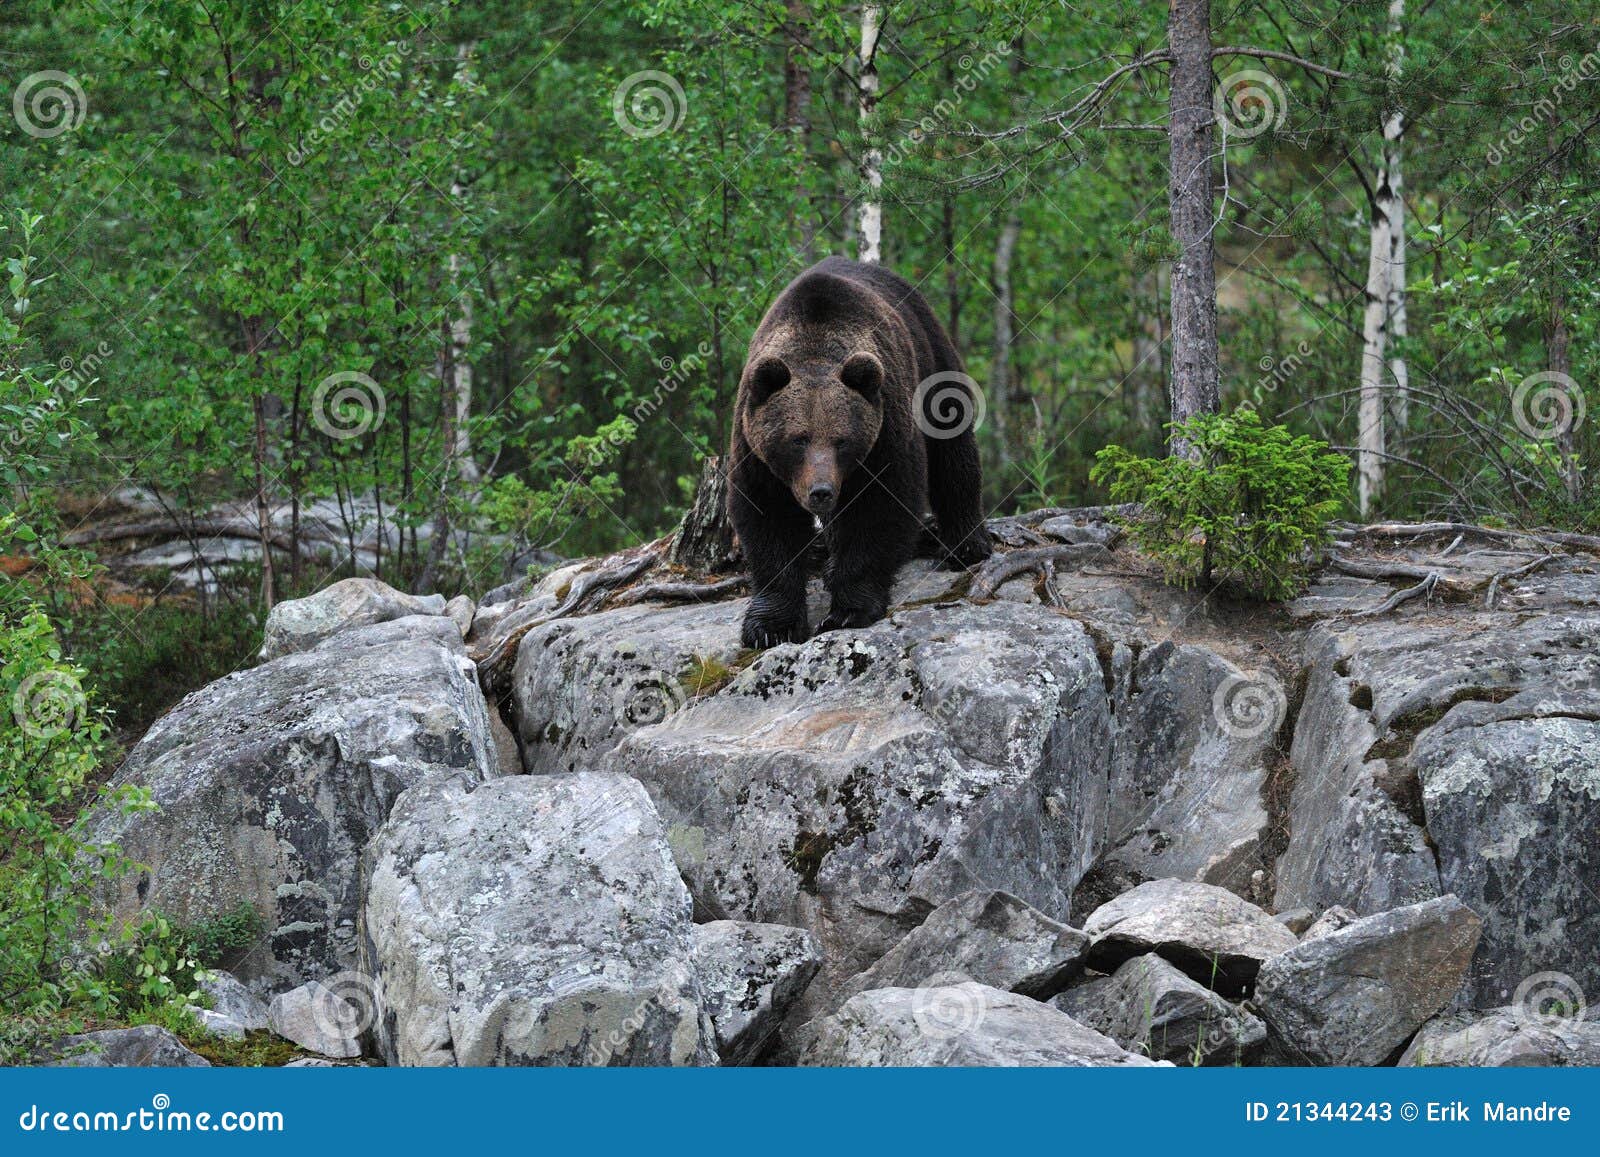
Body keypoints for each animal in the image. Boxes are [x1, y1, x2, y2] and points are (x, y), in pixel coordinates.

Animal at [728, 256, 992, 648]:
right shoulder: (754, 451)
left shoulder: (885, 433)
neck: (814, 346)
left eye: (841, 440)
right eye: (798, 439)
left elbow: (880, 509)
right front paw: (769, 627)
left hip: (932, 360)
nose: (821, 491)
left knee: (953, 453)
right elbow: (768, 518)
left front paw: (849, 610)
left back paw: (965, 545)